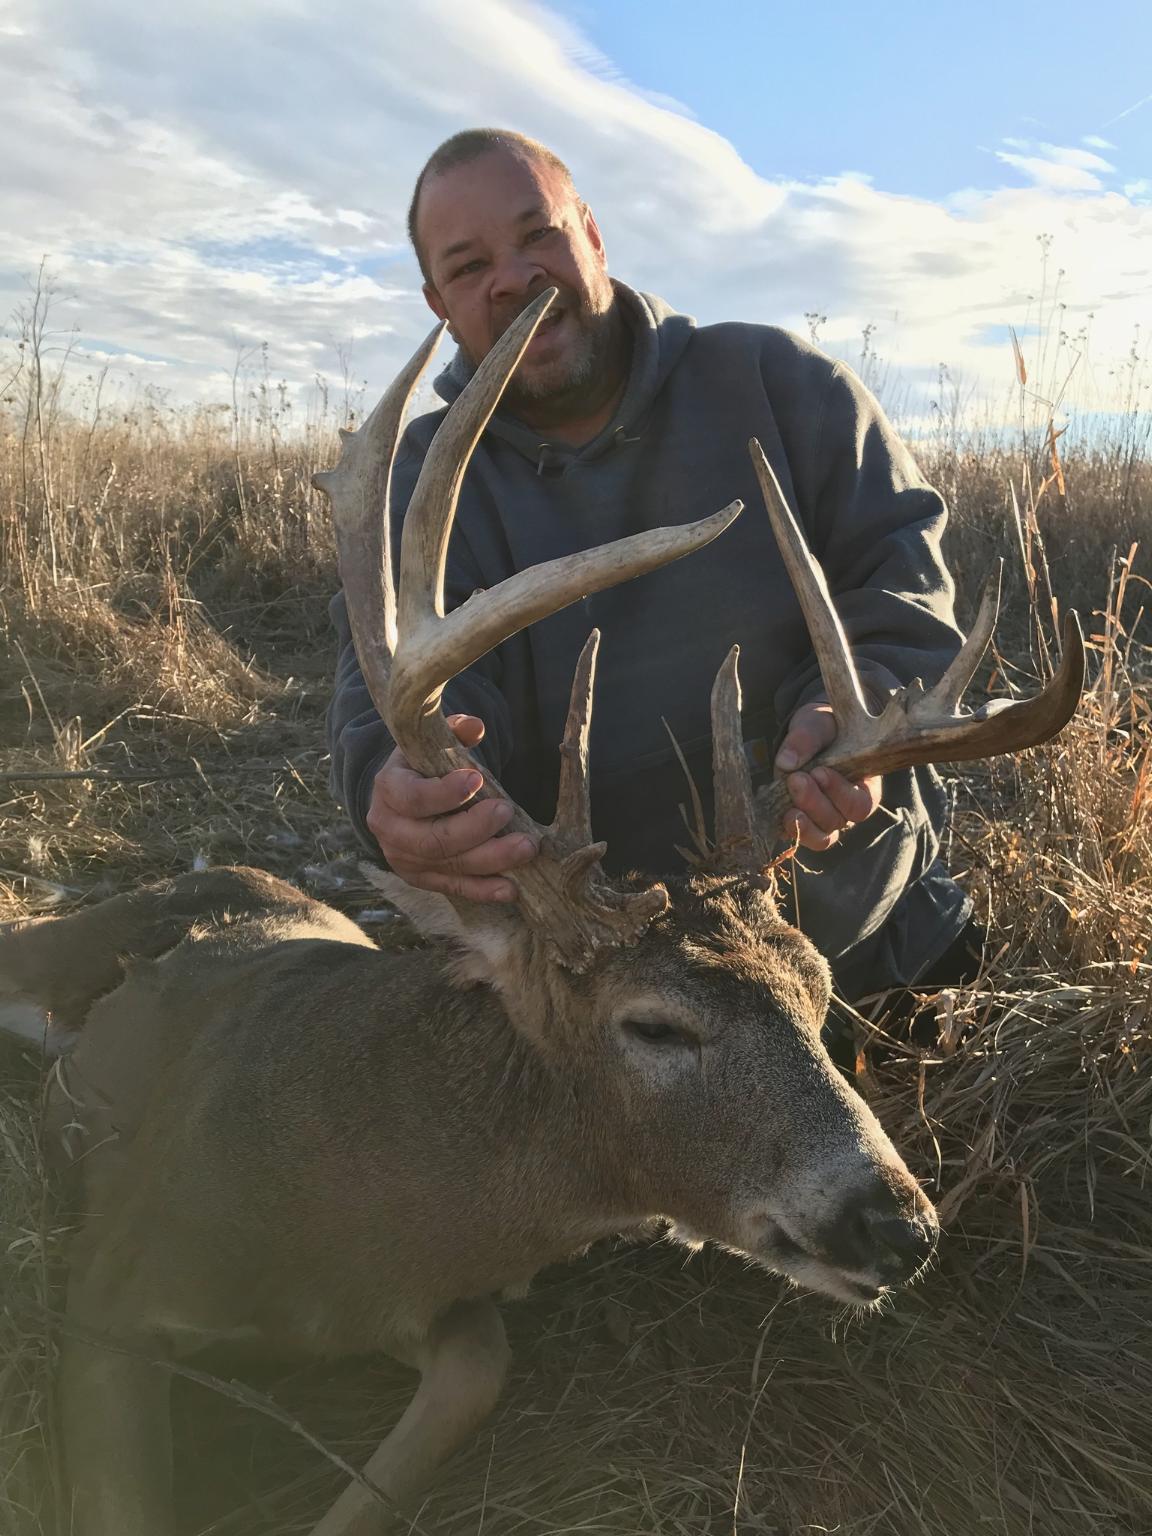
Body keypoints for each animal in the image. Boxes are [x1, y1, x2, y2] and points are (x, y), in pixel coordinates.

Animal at [0, 289, 1084, 1536]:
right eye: (654, 1024)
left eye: (818, 997)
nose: (901, 1227)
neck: (342, 1207)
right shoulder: (111, 1288)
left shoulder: (441, 1315)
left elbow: (469, 1382)